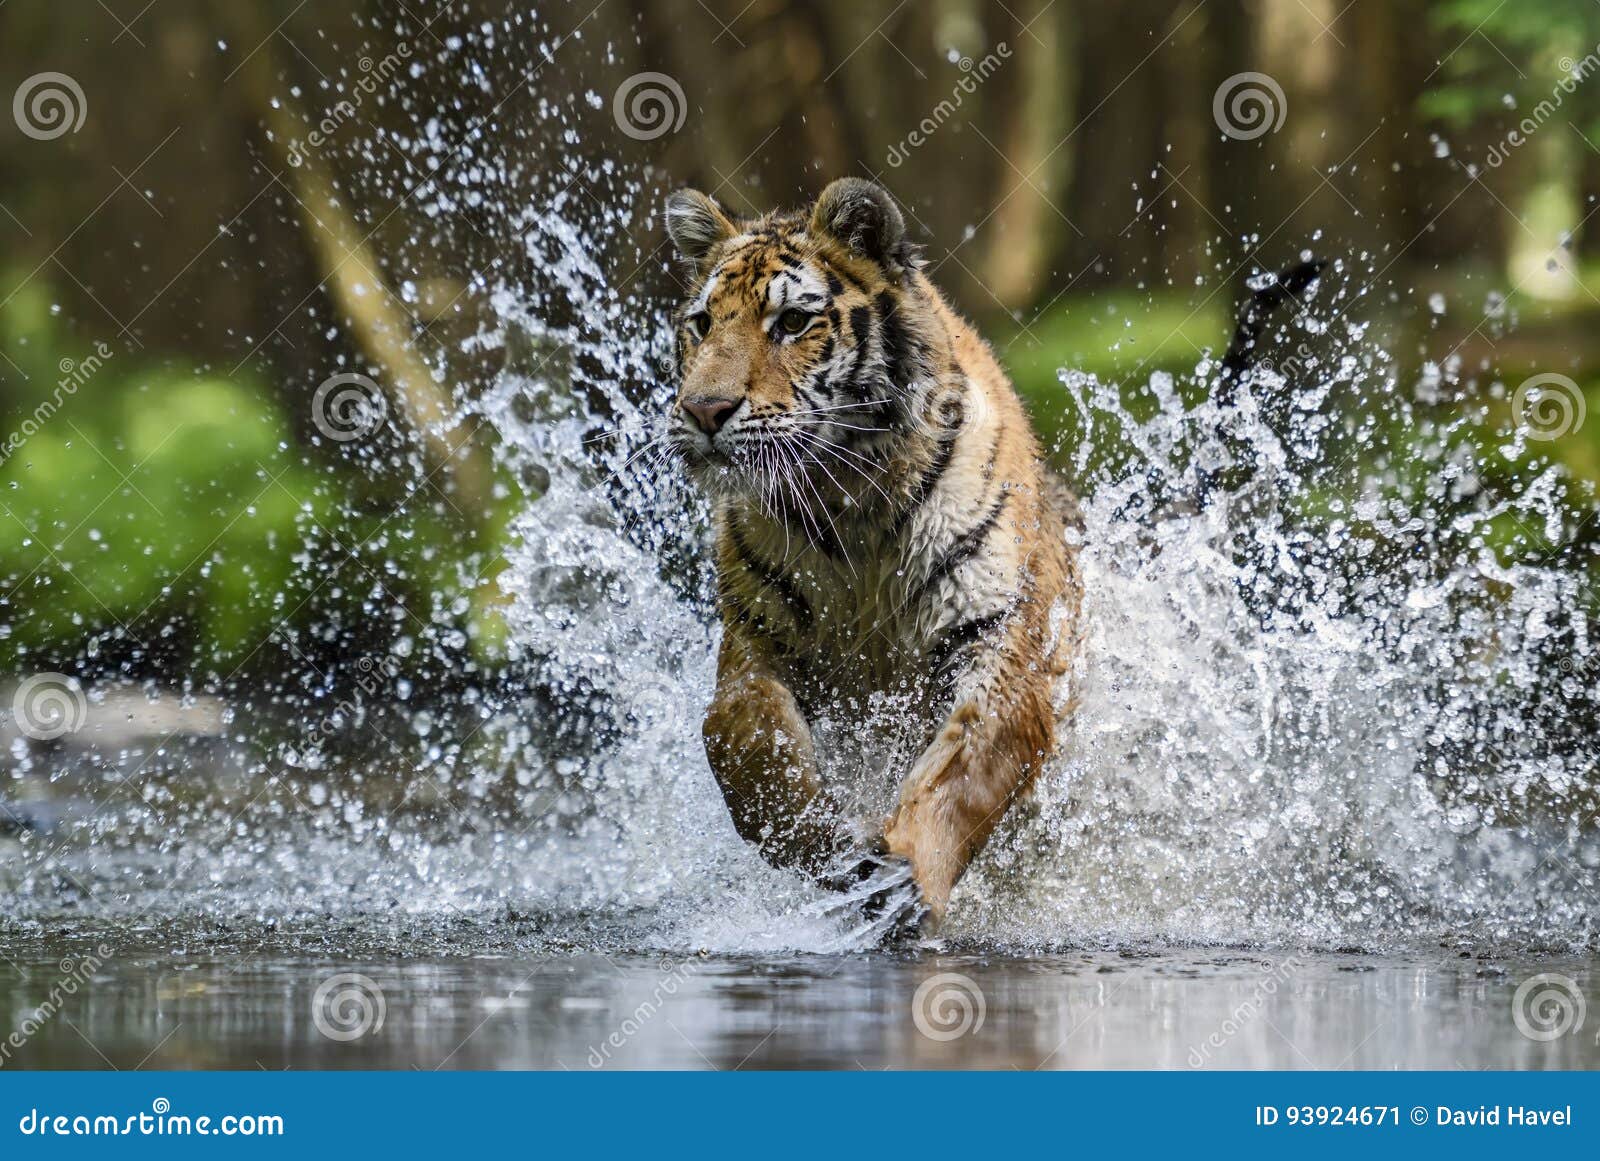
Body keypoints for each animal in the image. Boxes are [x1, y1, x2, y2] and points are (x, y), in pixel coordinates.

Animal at [663, 177, 1318, 939]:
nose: (703, 410)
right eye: (702, 323)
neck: (848, 506)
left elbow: (960, 776)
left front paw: (901, 883)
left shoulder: (1003, 649)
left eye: (793, 322)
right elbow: (747, 755)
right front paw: (833, 847)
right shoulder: (754, 648)